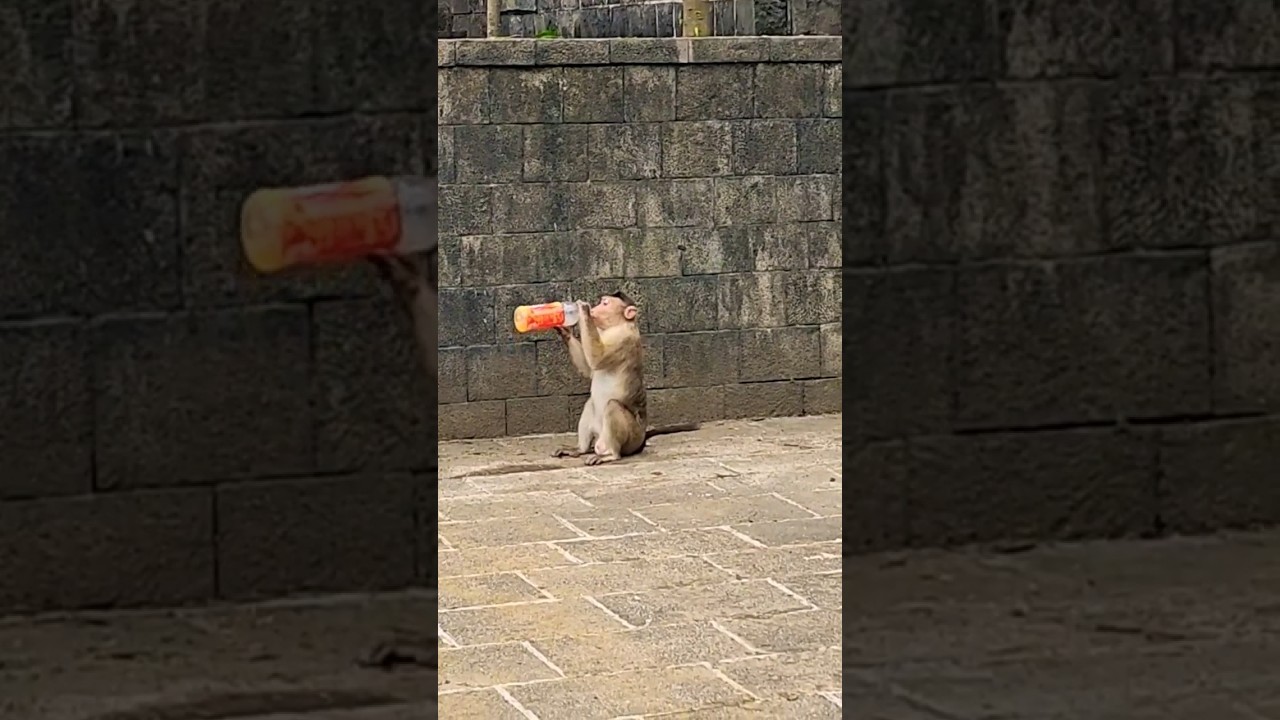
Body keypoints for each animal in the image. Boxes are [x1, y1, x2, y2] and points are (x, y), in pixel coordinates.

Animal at [551, 292, 698, 465]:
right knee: (590, 403)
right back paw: (580, 449)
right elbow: (589, 370)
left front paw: (582, 310)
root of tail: (641, 438)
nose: (594, 308)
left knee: (613, 406)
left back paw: (611, 454)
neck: (616, 325)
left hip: (631, 437)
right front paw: (565, 330)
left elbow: (597, 358)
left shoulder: (623, 339)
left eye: (605, 303)